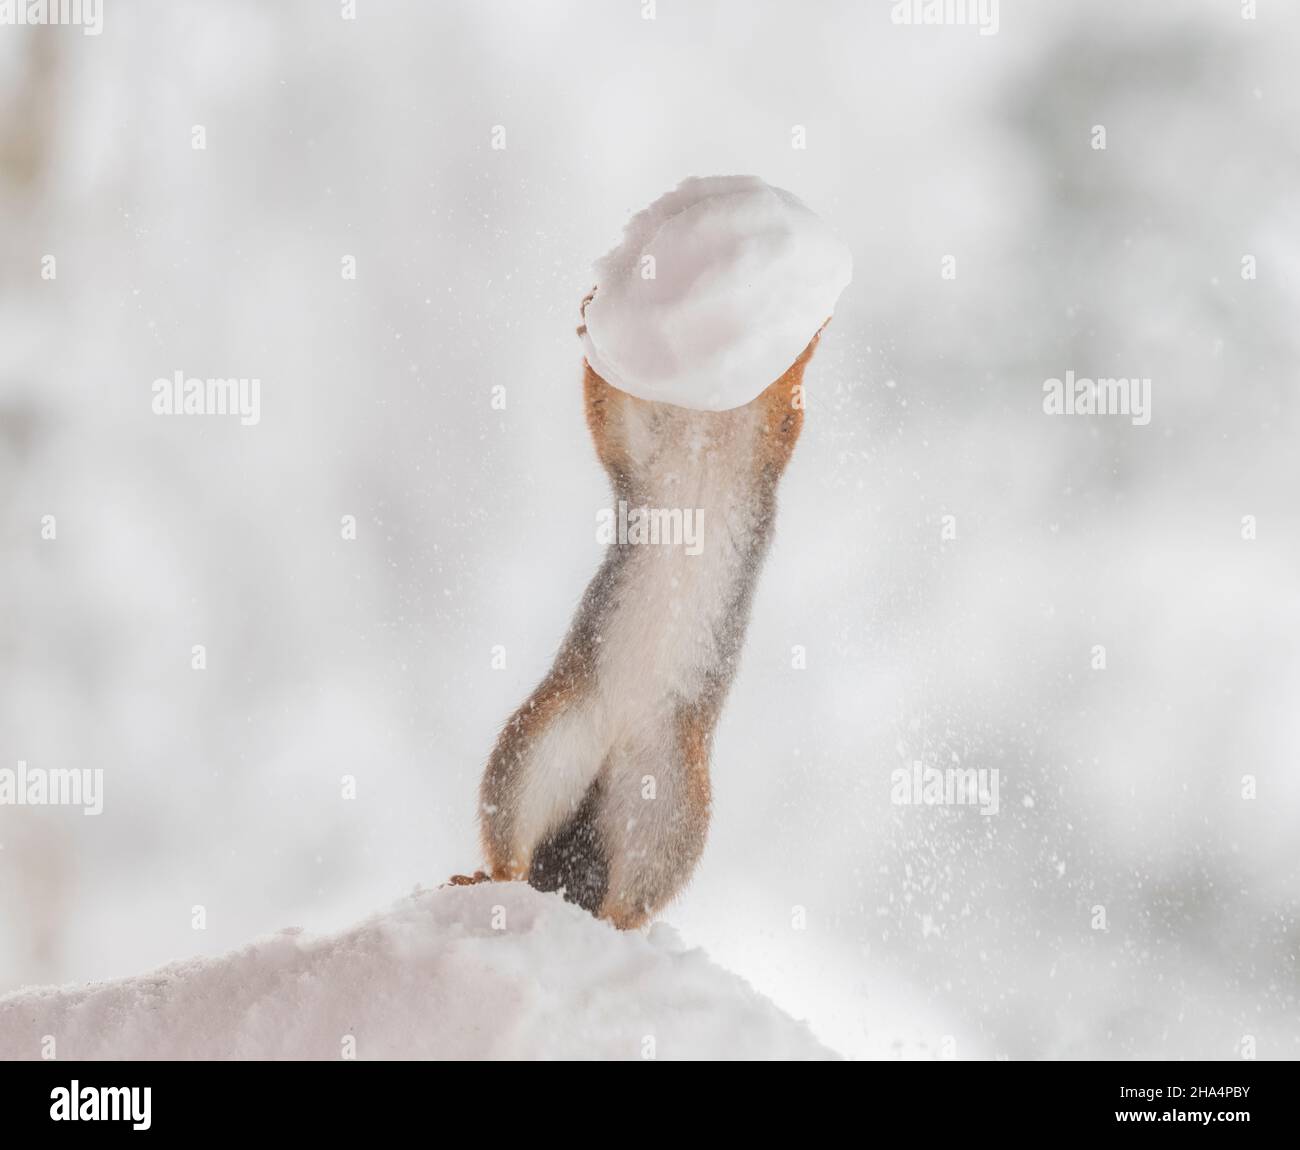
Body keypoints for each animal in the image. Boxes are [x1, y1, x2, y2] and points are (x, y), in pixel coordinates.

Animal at [456, 293, 824, 928]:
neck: (706, 425)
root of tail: (615, 745)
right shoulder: (646, 450)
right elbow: (612, 417)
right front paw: (587, 318)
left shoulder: (765, 443)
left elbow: (787, 402)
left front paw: (810, 328)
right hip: (536, 746)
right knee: (513, 842)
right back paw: (489, 877)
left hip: (670, 809)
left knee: (633, 895)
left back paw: (614, 920)